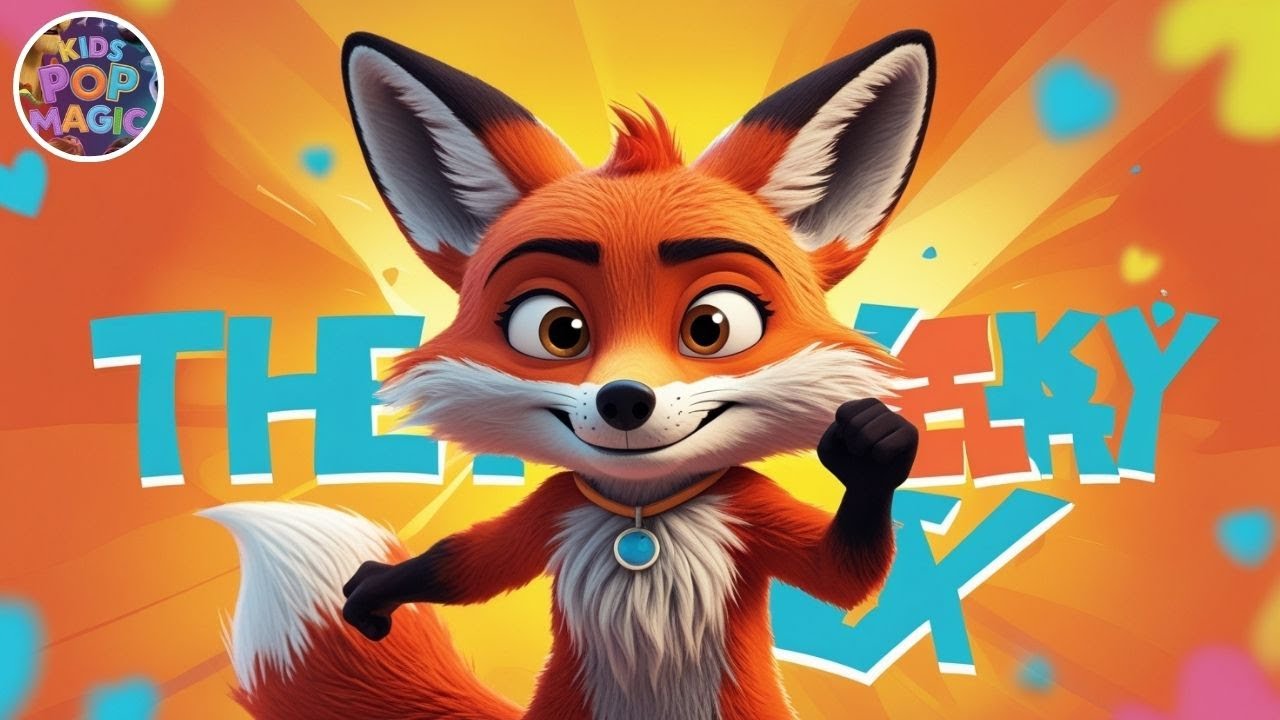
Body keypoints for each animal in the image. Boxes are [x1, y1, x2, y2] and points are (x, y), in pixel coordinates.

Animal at [203, 28, 934, 720]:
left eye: (712, 326)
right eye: (558, 330)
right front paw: (381, 588)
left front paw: (873, 451)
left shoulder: (748, 508)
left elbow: (841, 576)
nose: (625, 400)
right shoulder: (553, 509)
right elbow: (465, 565)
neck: (641, 516)